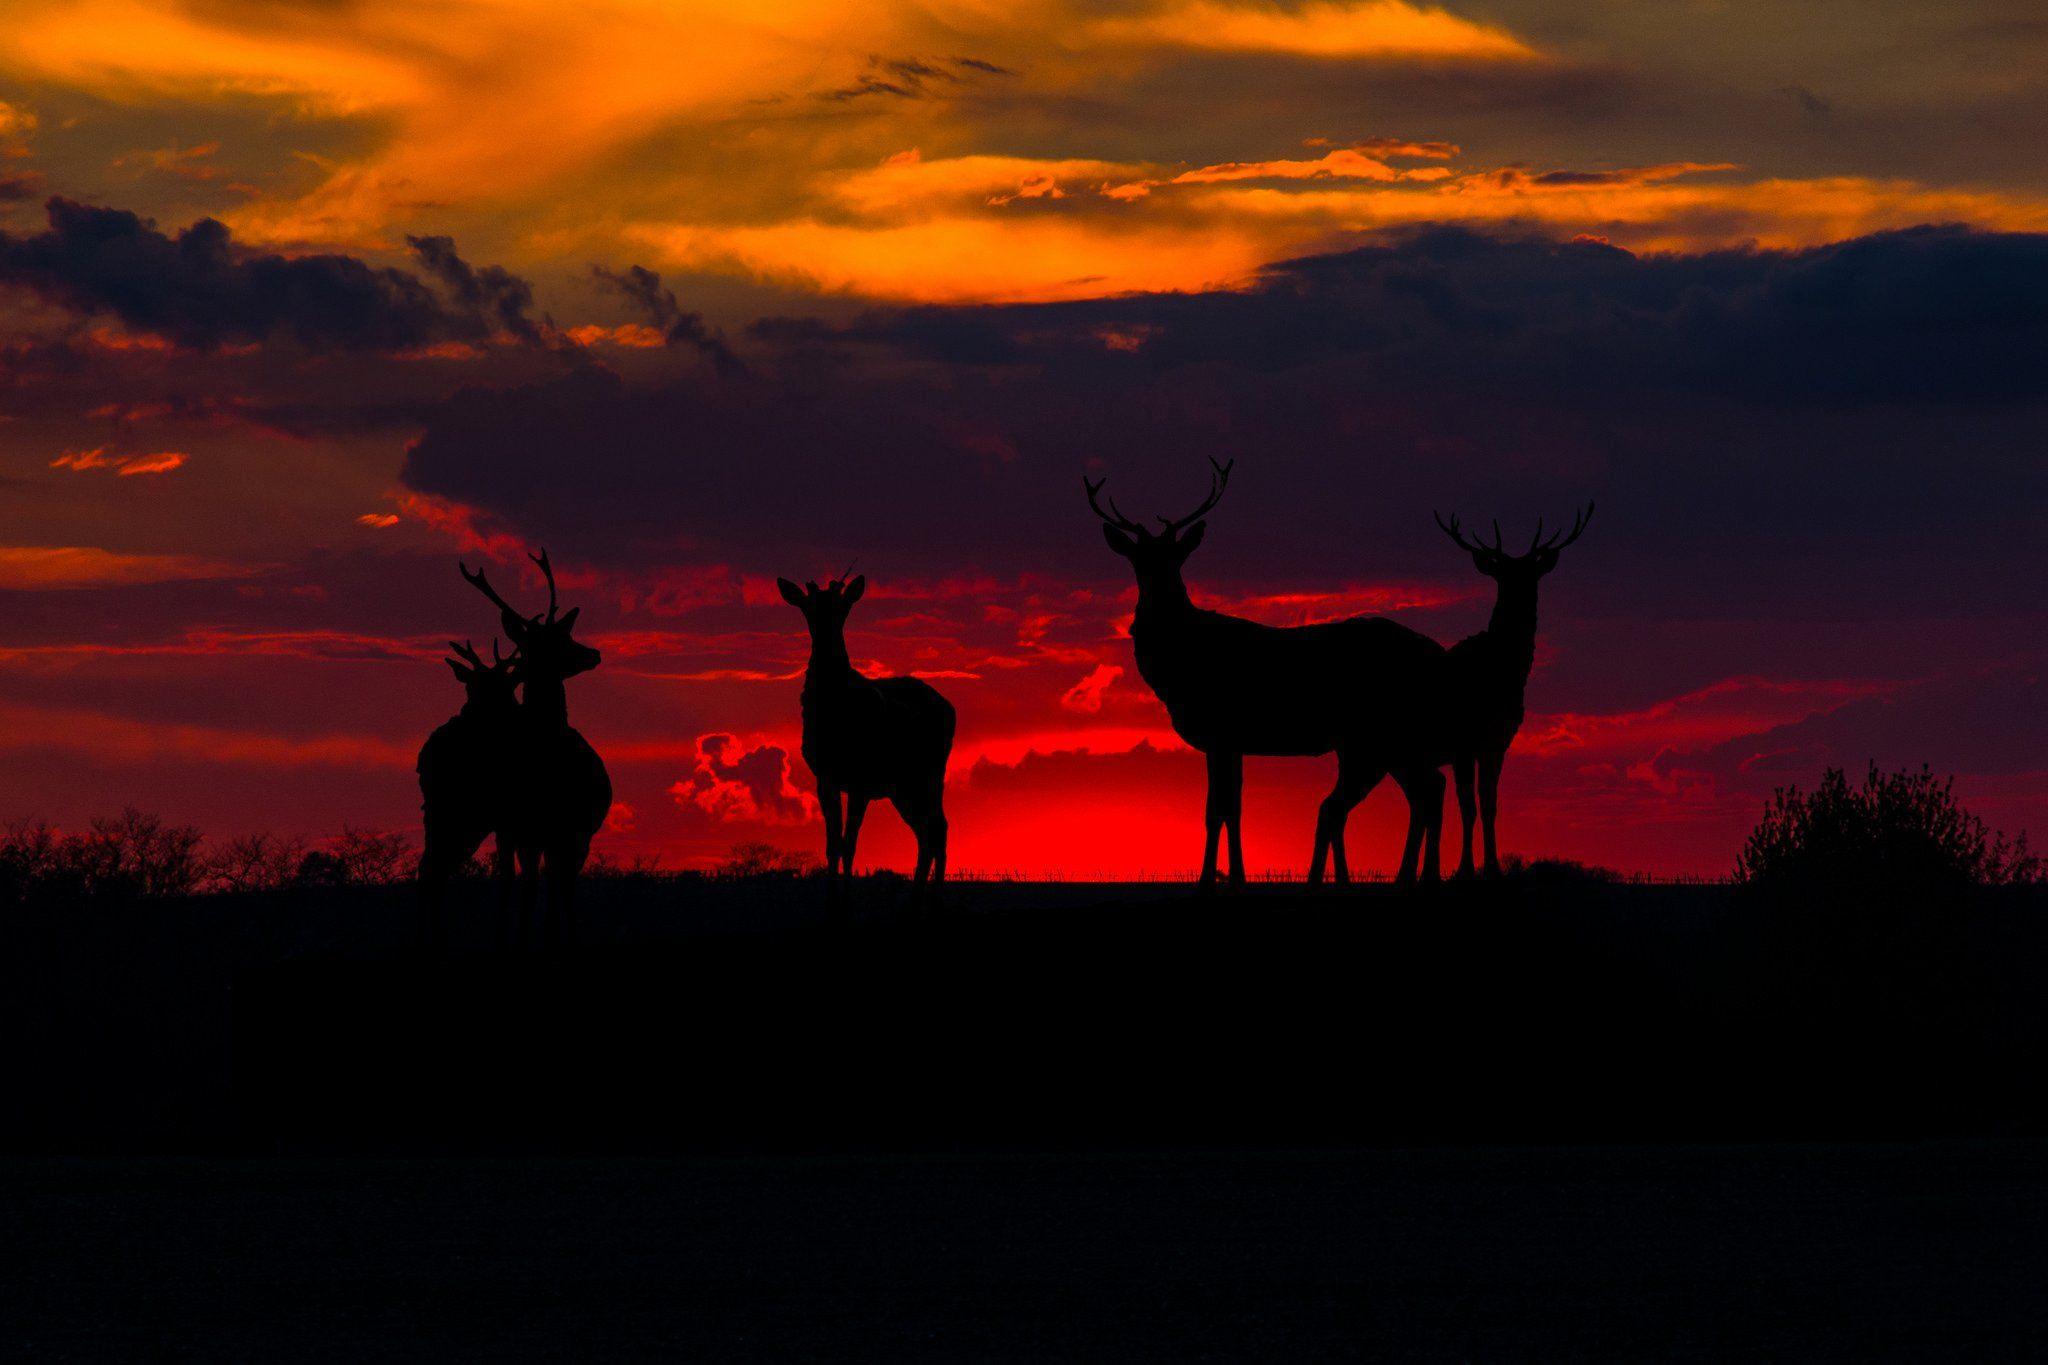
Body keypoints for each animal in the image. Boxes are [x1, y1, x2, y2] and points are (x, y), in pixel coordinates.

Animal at [416, 636, 521, 946]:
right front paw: (502, 934)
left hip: (446, 817)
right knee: (432, 867)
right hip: (453, 817)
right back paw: (433, 937)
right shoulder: (507, 819)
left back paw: (428, 937)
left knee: (431, 867)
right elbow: (509, 873)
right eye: (470, 686)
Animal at [460, 549, 612, 945]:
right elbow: (522, 885)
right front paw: (515, 933)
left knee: (560, 883)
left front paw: (560, 934)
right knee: (532, 881)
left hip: (574, 835)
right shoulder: (518, 828)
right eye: (562, 638)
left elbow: (558, 887)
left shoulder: (570, 829)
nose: (594, 653)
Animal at [777, 575, 955, 889]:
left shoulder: (860, 779)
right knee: (927, 830)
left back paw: (932, 892)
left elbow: (850, 844)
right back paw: (919, 890)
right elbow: (833, 844)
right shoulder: (825, 777)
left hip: (930, 774)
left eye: (843, 607)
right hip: (903, 787)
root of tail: (952, 711)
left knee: (937, 827)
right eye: (809, 608)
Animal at [1085, 458, 1454, 887]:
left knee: (1426, 789)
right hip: (1394, 739)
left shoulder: (1223, 731)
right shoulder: (1229, 740)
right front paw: (1231, 876)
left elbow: (1219, 810)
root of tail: (1437, 653)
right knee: (1427, 789)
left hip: (1387, 734)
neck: (1181, 670)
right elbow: (1227, 809)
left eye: (1176, 557)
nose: (1156, 599)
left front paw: (1215, 879)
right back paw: (1415, 876)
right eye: (1138, 560)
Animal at [1430, 503, 1594, 878]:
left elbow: (1490, 803)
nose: (1520, 595)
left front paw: (1492, 867)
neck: (1501, 675)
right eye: (1501, 573)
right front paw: (1465, 869)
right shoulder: (1464, 741)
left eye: (1531, 572)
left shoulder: (1498, 741)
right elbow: (1468, 805)